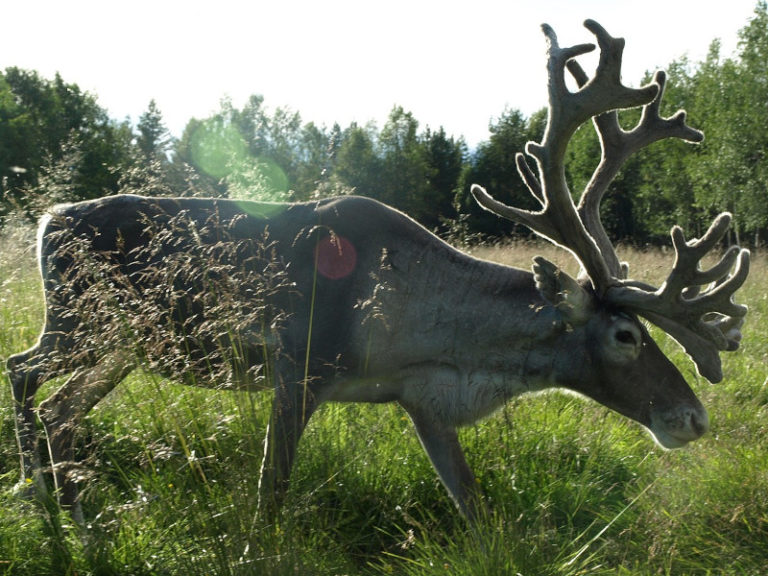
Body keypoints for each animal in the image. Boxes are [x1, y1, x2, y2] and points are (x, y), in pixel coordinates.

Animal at [6, 20, 750, 524]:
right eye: (626, 336)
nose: (694, 418)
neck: (424, 335)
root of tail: (46, 219)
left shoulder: (422, 400)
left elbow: (473, 506)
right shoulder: (299, 365)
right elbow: (269, 494)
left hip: (125, 346)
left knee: (61, 410)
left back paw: (72, 511)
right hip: (81, 322)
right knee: (23, 371)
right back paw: (37, 499)